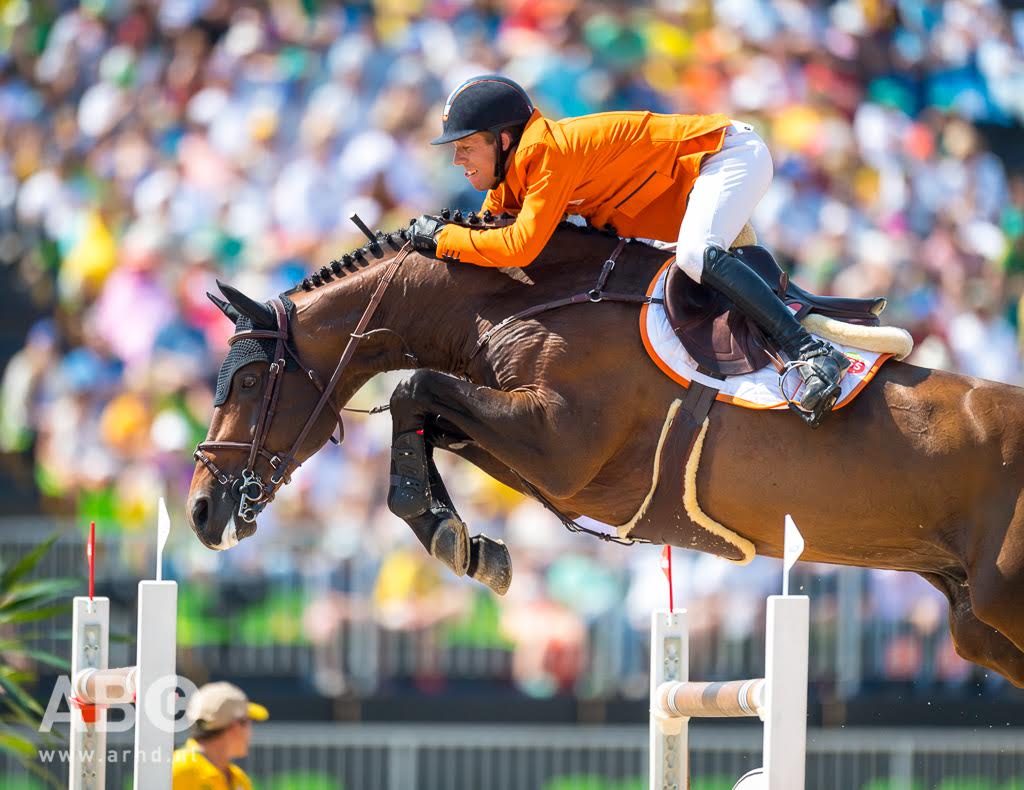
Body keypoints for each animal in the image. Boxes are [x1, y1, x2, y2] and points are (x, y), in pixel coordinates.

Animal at [186, 220, 1024, 688]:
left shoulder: (562, 445)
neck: (525, 304)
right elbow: (424, 417)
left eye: (252, 378)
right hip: (977, 625)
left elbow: (413, 392)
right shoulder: (548, 465)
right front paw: (467, 542)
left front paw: (453, 537)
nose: (201, 507)